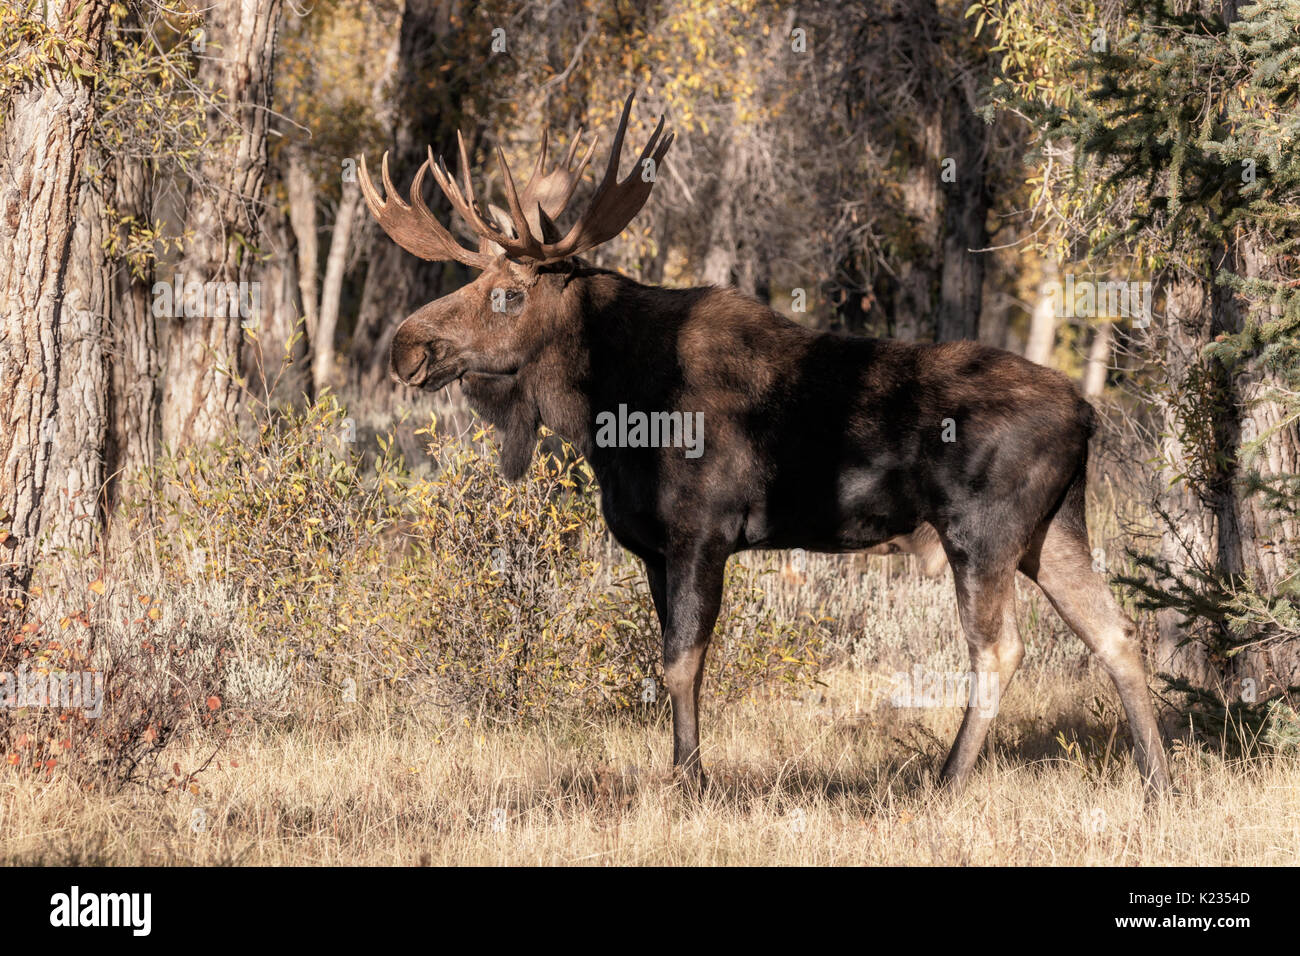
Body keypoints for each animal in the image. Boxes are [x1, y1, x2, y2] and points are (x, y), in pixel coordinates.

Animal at [358, 92, 1171, 795]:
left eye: (510, 294)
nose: (407, 345)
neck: (608, 408)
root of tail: (1087, 413)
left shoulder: (702, 532)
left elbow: (681, 664)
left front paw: (690, 781)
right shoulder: (652, 548)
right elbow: (674, 661)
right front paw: (685, 770)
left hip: (983, 529)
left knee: (1001, 650)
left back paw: (945, 781)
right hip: (1053, 528)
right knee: (1118, 633)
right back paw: (1156, 780)